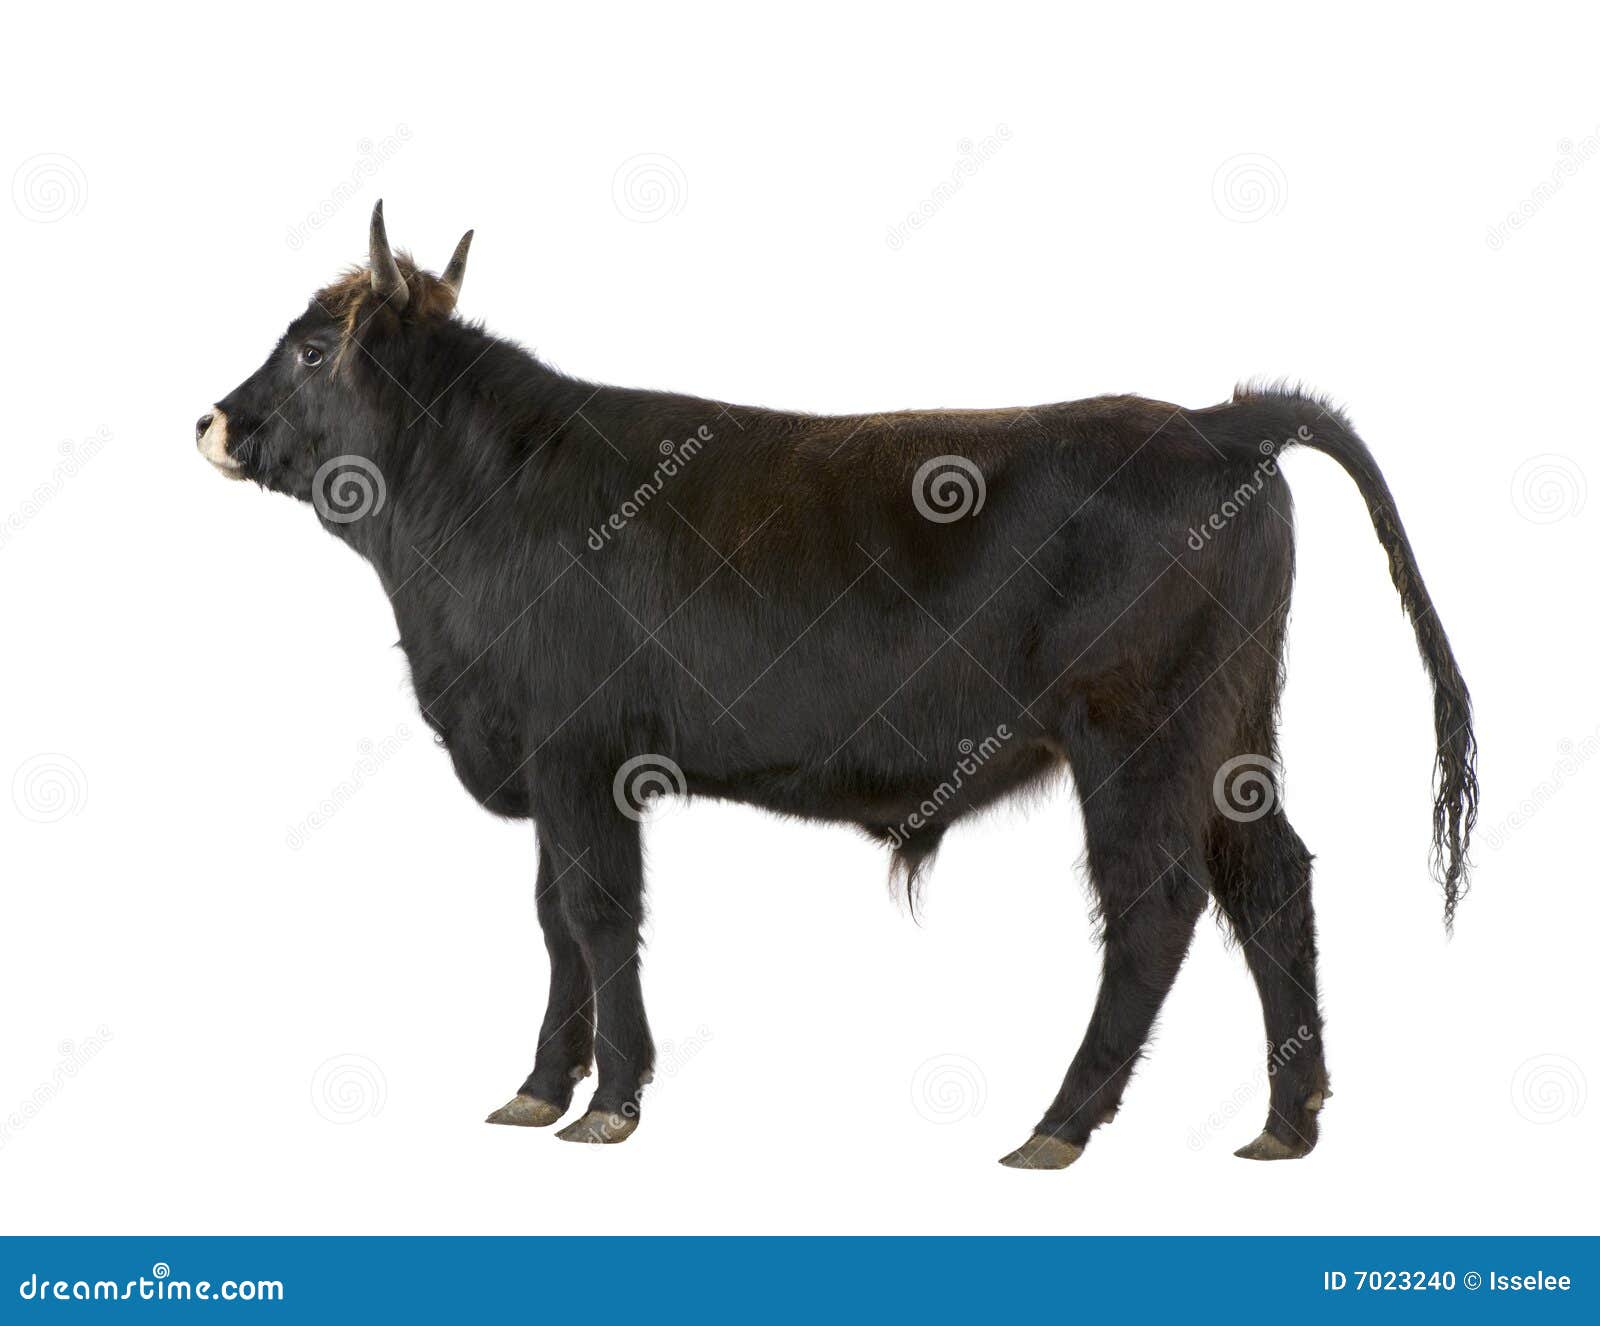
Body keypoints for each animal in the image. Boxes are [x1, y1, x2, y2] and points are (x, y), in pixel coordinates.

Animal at [196, 201, 1477, 1168]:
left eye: (310, 349)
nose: (211, 420)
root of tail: (1214, 420)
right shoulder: (551, 766)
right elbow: (554, 918)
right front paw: (538, 1088)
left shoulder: (577, 752)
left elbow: (597, 915)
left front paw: (609, 1103)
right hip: (1230, 731)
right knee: (1272, 883)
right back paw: (1286, 1121)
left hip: (1138, 737)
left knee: (1155, 904)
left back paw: (1058, 1125)